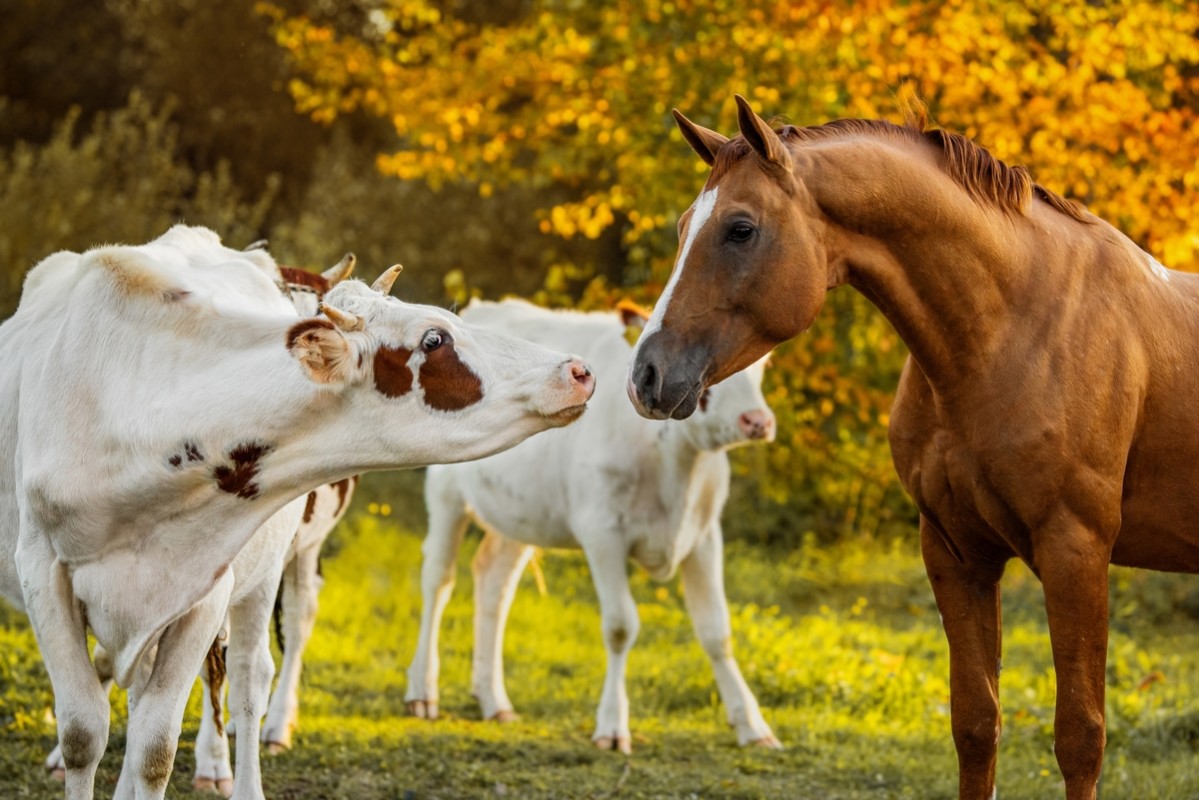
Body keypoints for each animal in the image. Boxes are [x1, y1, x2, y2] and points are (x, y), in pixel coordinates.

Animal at [0, 226, 595, 800]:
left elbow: (154, 747)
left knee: (247, 675)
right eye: (434, 338)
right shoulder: (42, 575)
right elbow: (83, 734)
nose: (579, 369)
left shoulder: (203, 585)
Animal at [404, 299, 779, 754]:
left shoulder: (704, 536)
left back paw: (493, 698)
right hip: (446, 496)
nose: (757, 421)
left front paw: (751, 724)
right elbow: (620, 627)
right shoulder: (603, 534)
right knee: (438, 581)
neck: (676, 468)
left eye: (760, 367)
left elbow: (717, 632)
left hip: (521, 513)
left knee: (494, 584)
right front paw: (613, 725)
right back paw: (422, 691)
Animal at [626, 94, 1199, 800]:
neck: (1016, 328)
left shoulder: (1077, 552)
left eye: (739, 229)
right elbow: (976, 725)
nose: (646, 376)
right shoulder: (956, 552)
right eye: (685, 226)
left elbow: (1080, 738)